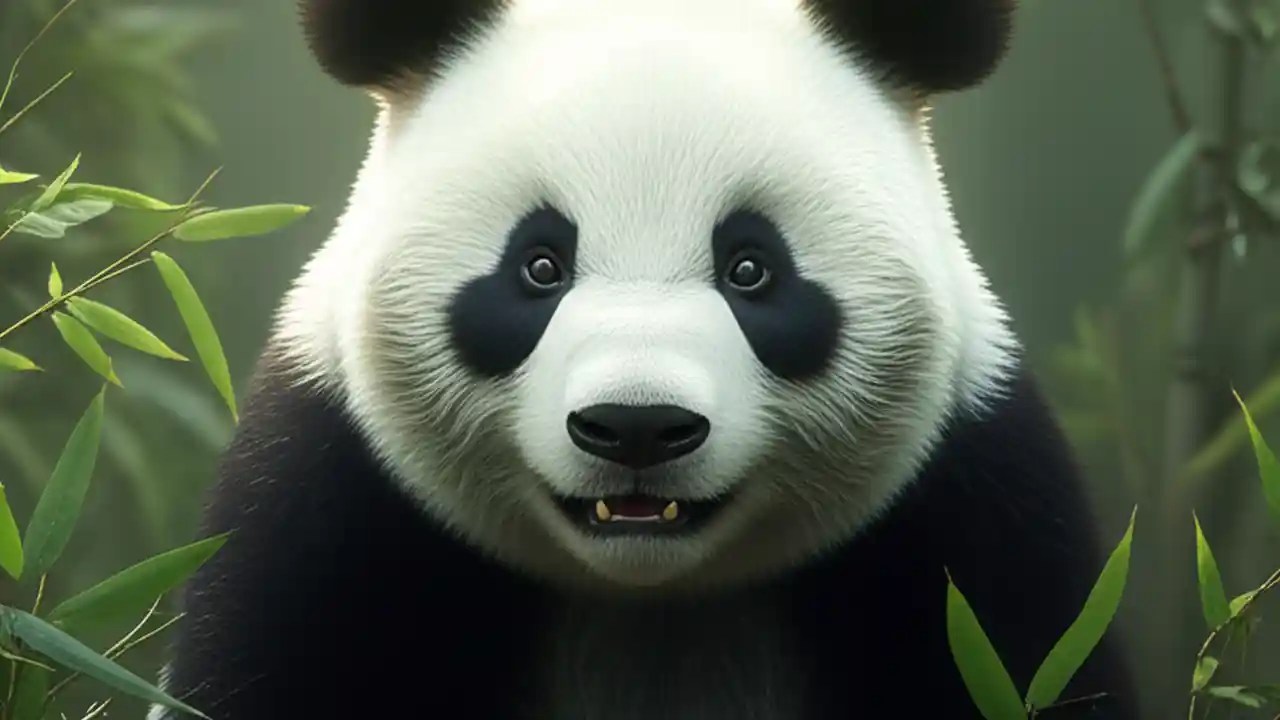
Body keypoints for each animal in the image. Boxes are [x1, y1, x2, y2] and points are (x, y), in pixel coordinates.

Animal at [151, 0, 1136, 718]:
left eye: (751, 269)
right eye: (539, 266)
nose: (636, 426)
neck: (650, 591)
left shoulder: (977, 514)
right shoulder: (325, 508)